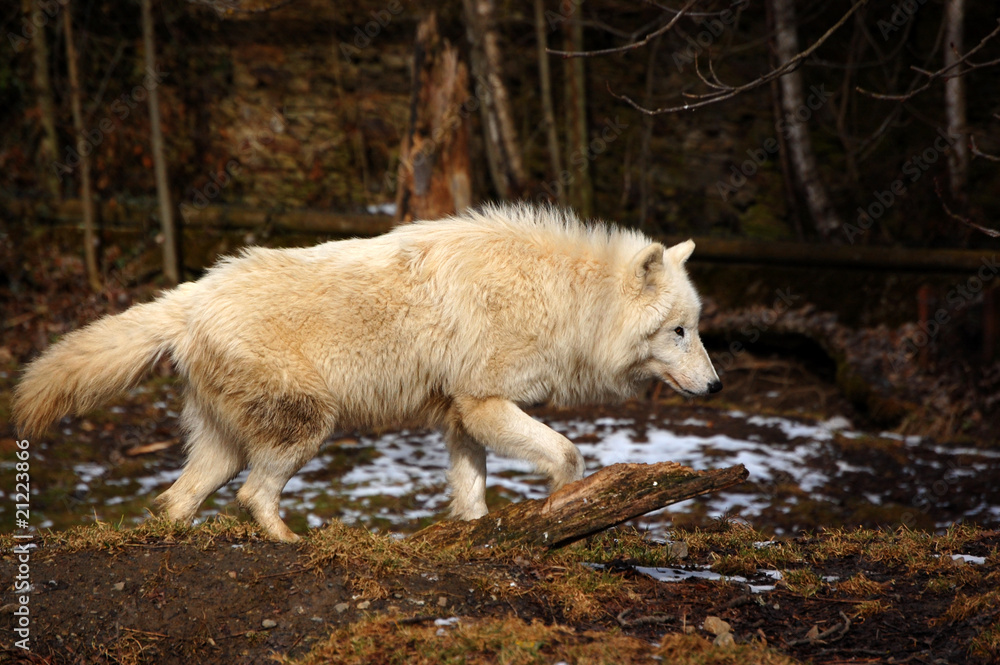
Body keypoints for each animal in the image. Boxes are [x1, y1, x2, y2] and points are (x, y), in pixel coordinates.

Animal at [13, 203, 721, 541]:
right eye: (678, 332)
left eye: (696, 327)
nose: (716, 386)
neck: (562, 297)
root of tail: (188, 295)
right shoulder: (486, 403)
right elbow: (569, 456)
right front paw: (569, 514)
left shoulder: (461, 418)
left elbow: (470, 494)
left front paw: (478, 538)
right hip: (307, 428)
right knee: (251, 496)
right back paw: (293, 546)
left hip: (226, 445)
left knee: (174, 503)